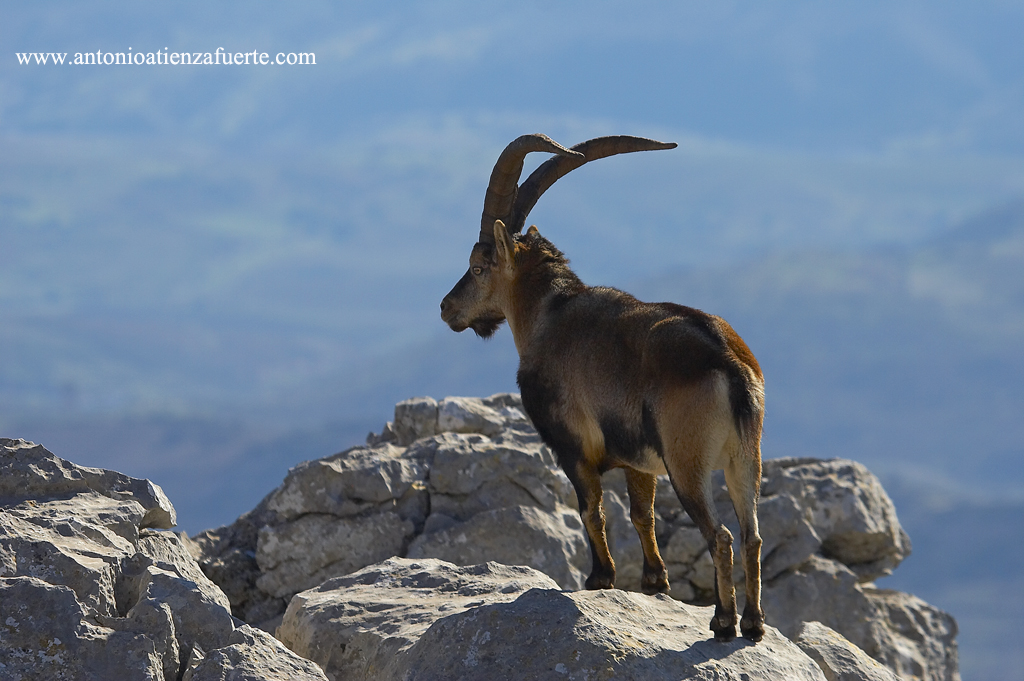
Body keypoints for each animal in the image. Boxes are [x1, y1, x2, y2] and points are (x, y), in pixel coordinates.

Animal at [439, 134, 766, 642]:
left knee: (722, 536)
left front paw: (600, 577)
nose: (446, 308)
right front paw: (655, 581)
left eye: (477, 267)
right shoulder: (638, 457)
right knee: (751, 535)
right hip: (745, 458)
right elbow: (641, 514)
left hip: (687, 462)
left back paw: (724, 620)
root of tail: (730, 365)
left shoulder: (571, 445)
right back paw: (753, 623)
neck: (548, 316)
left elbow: (590, 509)